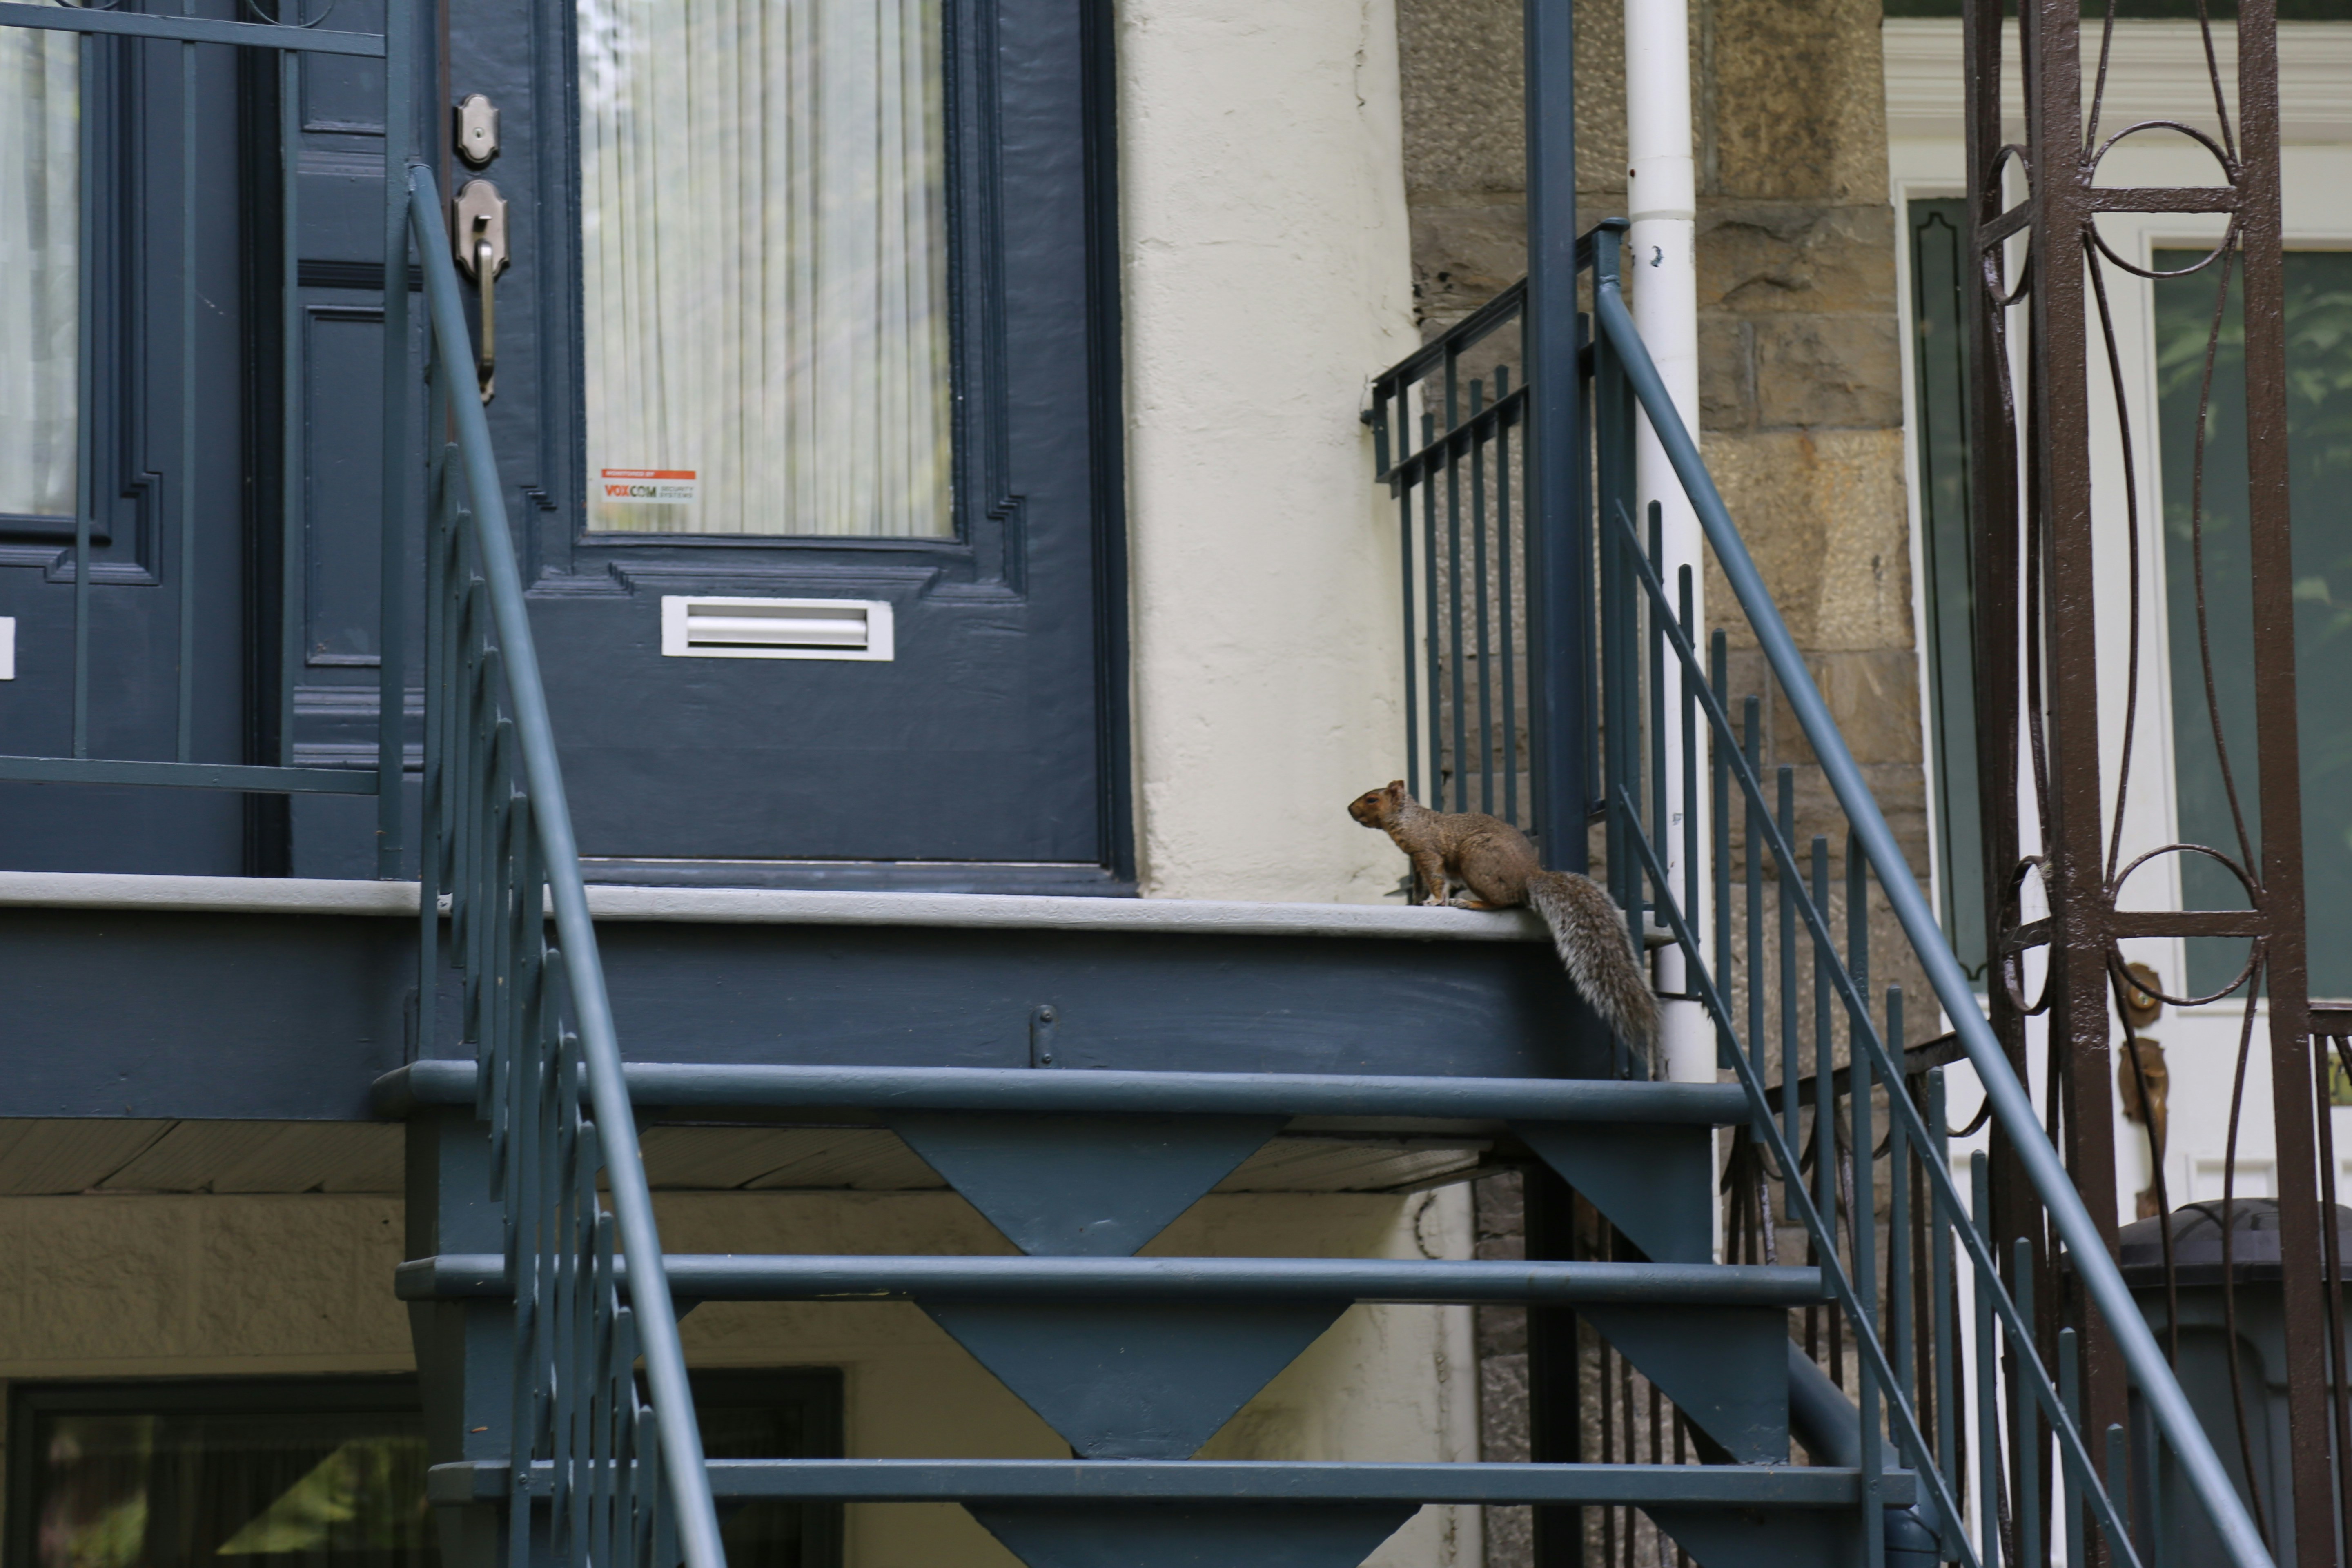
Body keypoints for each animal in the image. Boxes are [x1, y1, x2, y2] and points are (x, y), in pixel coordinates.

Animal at [1349, 780, 1660, 1066]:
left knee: (1502, 902)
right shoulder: (1418, 864)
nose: (1350, 810)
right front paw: (1426, 901)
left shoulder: (1427, 851)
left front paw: (1436, 901)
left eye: (1373, 799)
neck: (1407, 819)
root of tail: (1529, 876)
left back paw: (1473, 904)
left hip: (1477, 860)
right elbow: (1428, 883)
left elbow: (1437, 880)